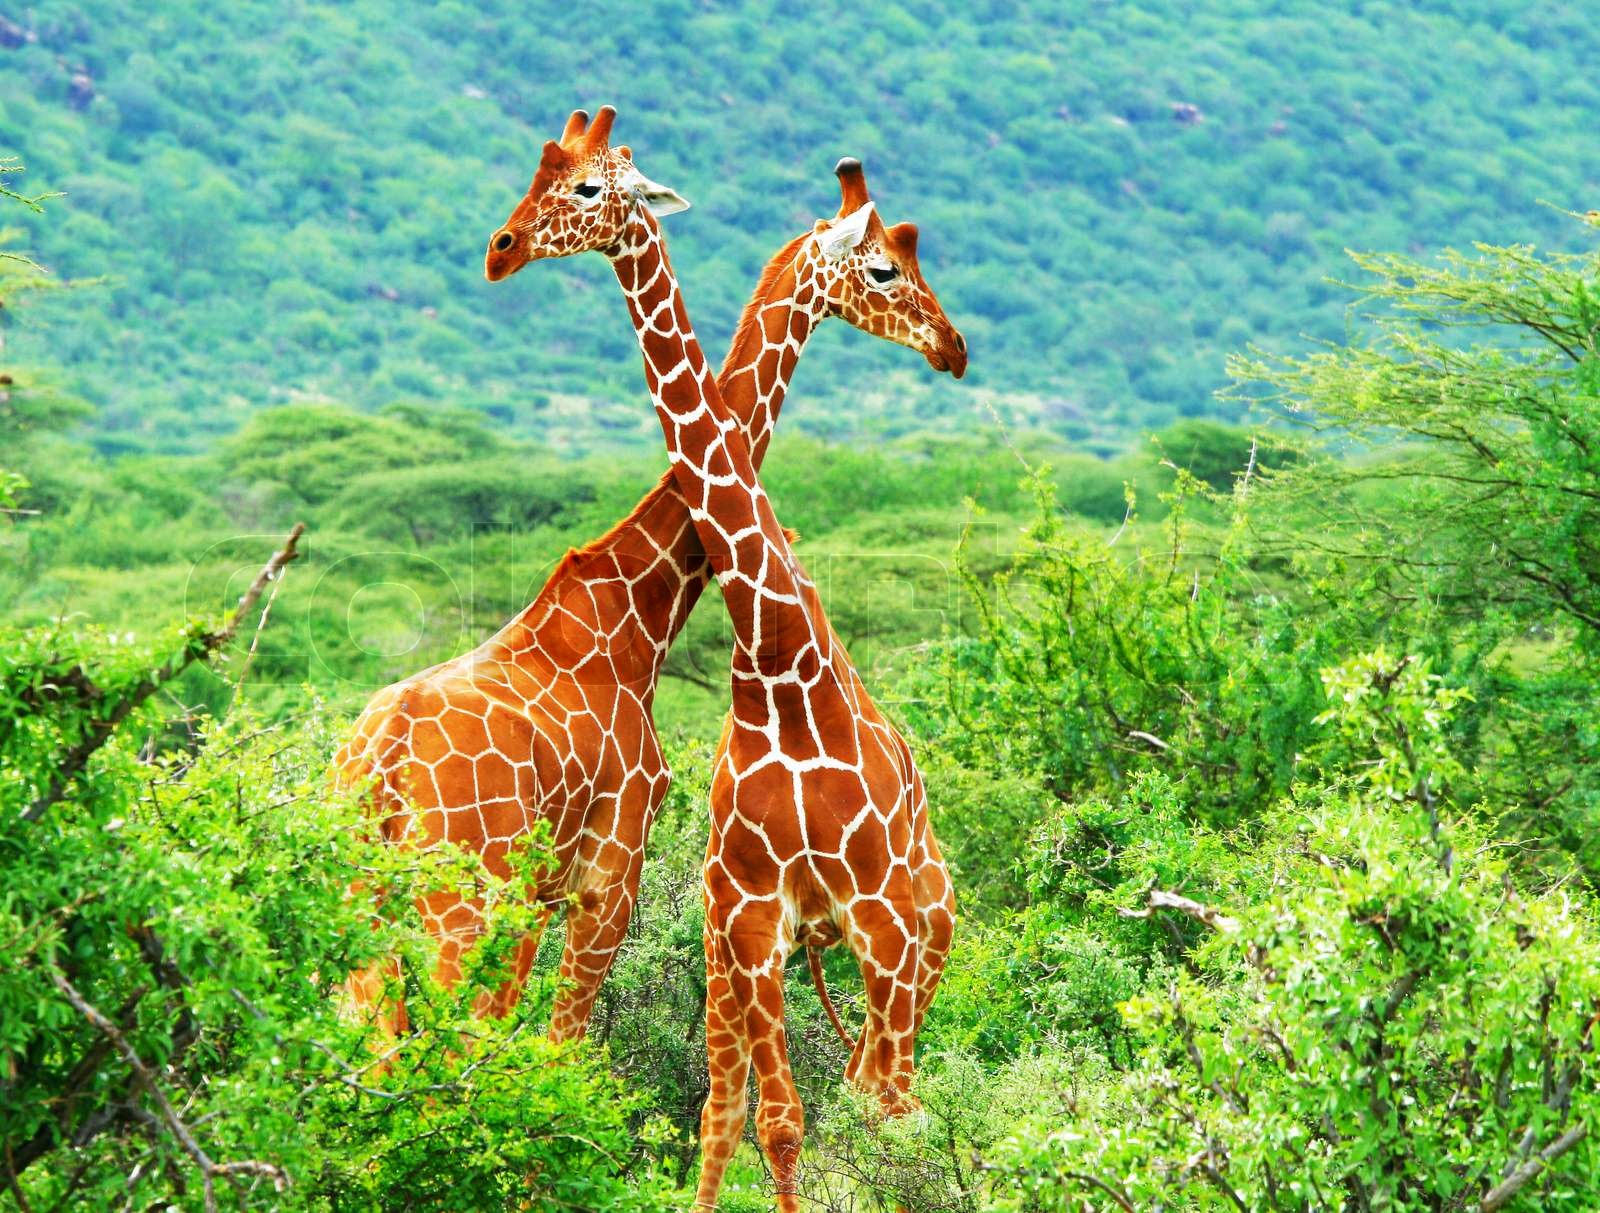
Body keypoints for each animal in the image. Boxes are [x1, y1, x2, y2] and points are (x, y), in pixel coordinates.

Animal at [338, 112, 965, 1047]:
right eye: (887, 265)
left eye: (579, 182)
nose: (952, 346)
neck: (639, 614)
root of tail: (378, 759)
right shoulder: (610, 869)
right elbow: (559, 1047)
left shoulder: (548, 889)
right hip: (460, 894)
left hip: (364, 888)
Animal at [484, 107, 962, 1212]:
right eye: (885, 267)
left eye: (585, 186)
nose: (954, 347)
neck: (778, 661)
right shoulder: (747, 914)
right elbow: (769, 1118)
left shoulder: (874, 914)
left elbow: (862, 1112)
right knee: (771, 1097)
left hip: (923, 931)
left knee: (897, 1094)